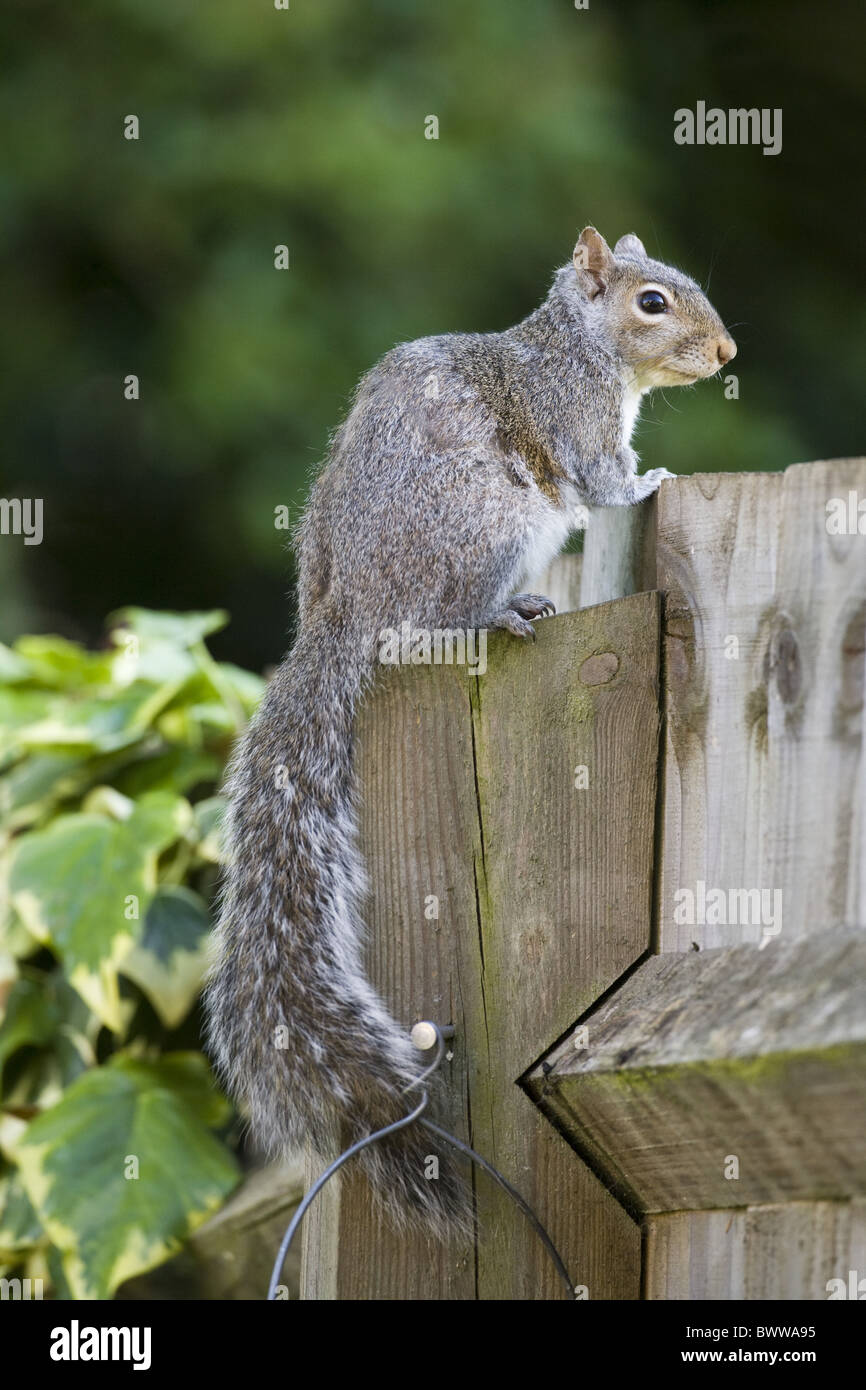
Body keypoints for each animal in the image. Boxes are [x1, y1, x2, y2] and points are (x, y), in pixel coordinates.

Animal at [205, 228, 736, 1238]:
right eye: (652, 302)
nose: (726, 353)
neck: (583, 347)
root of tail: (345, 610)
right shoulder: (576, 422)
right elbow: (608, 480)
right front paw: (654, 478)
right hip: (487, 523)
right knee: (430, 626)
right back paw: (502, 611)